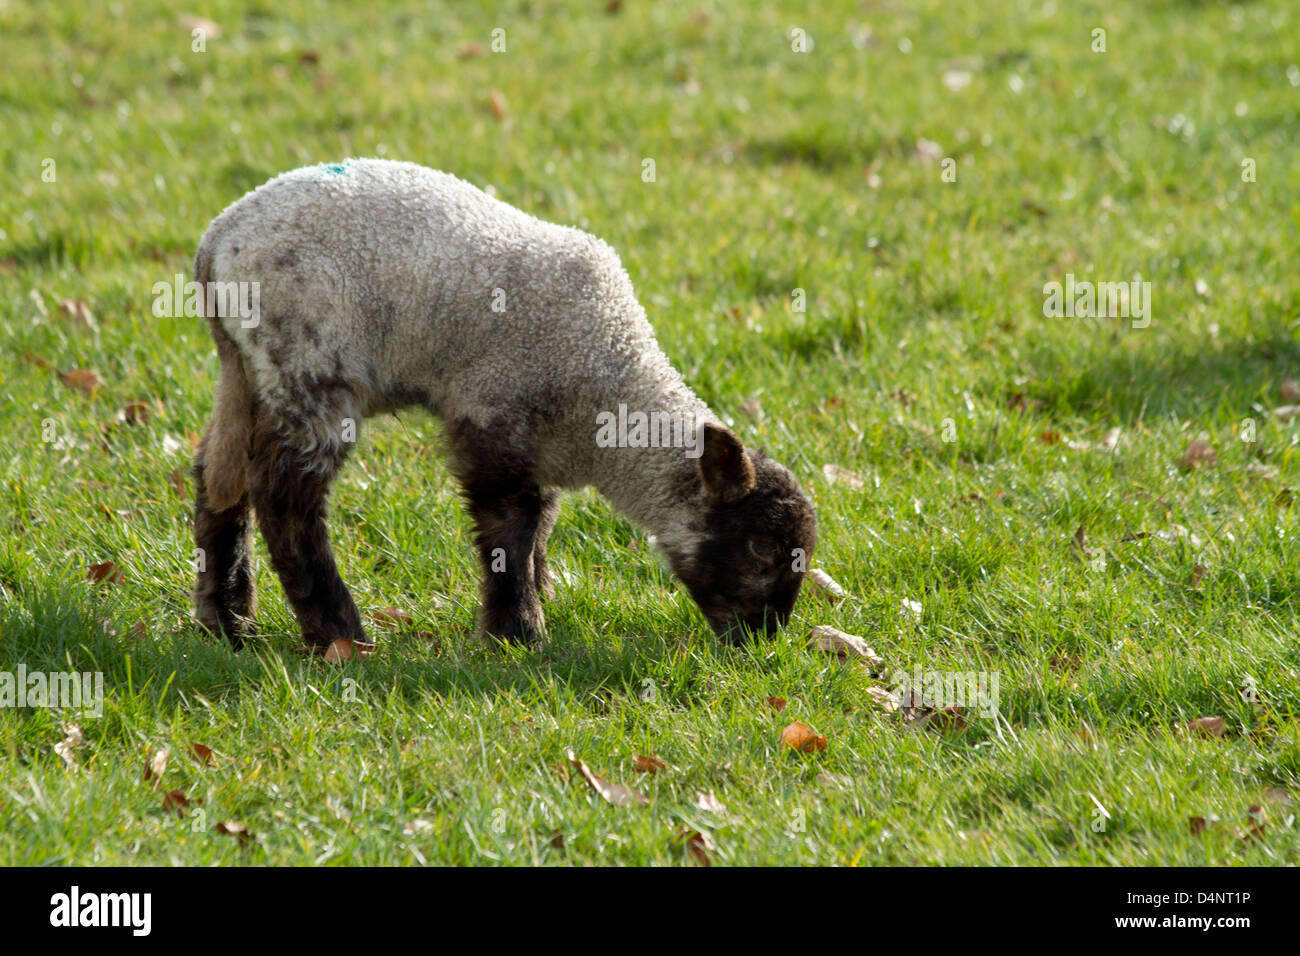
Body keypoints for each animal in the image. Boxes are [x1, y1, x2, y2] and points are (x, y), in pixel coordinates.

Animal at [191, 158, 817, 653]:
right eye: (760, 548)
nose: (762, 639)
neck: (612, 380)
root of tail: (217, 241)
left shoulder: (541, 444)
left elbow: (541, 526)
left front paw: (537, 599)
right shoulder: (494, 414)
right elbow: (509, 532)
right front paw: (518, 633)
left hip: (249, 371)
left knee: (218, 475)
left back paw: (227, 622)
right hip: (312, 362)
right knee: (286, 500)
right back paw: (337, 631)